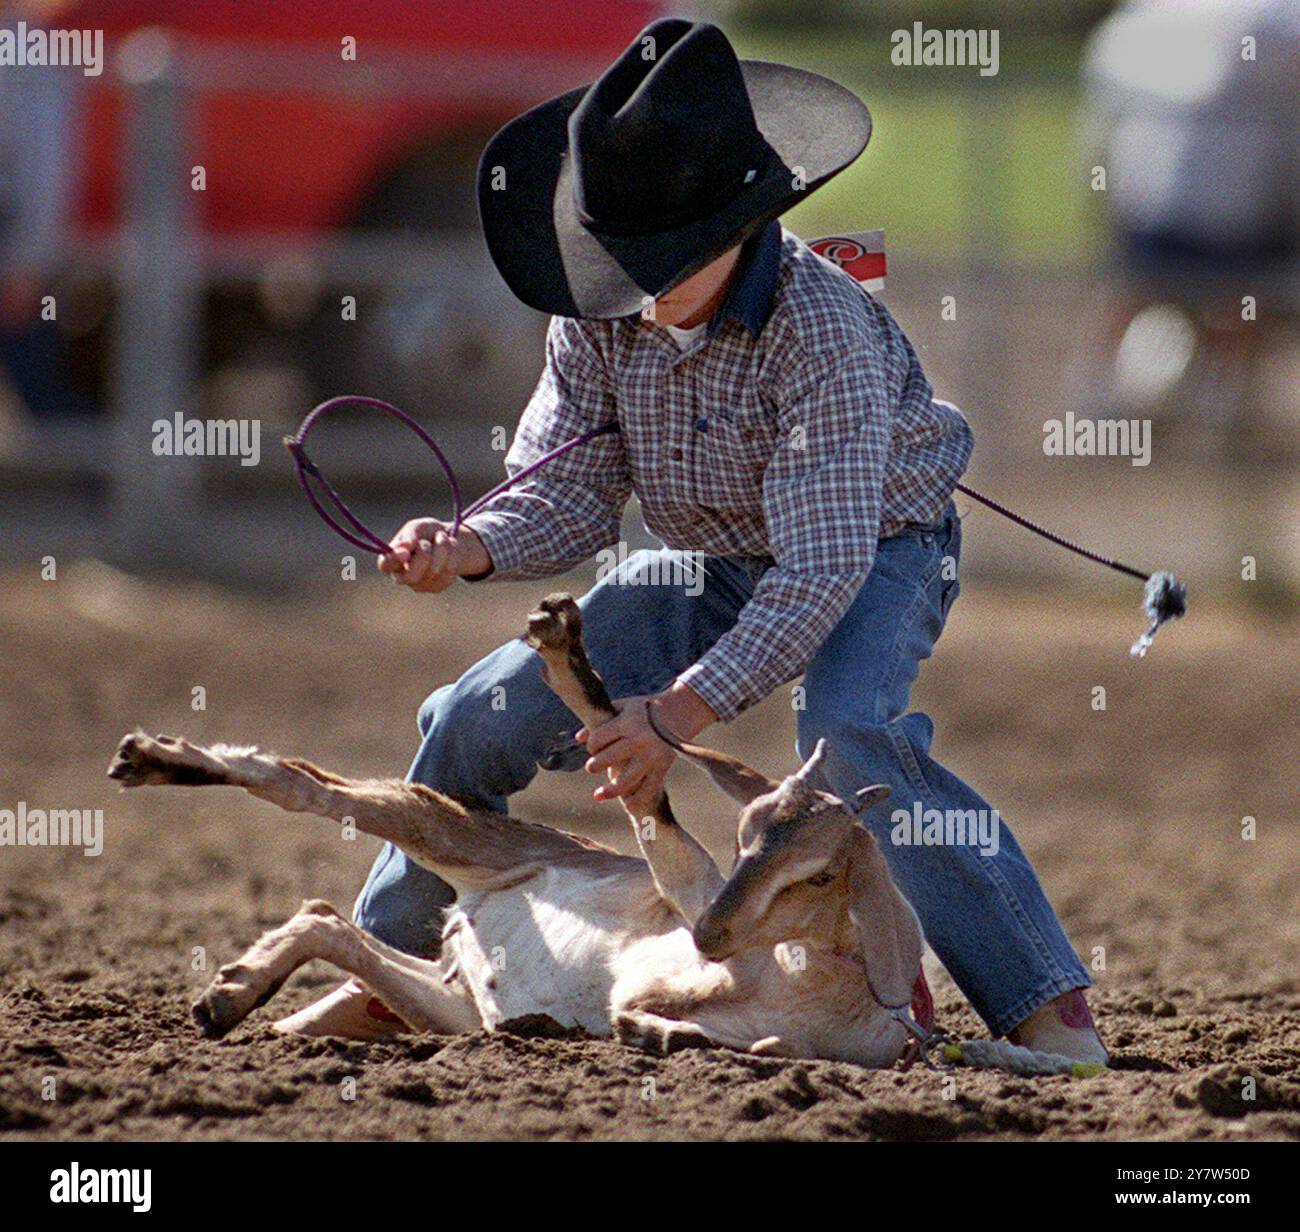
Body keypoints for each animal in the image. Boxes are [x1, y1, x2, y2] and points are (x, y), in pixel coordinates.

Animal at [106, 594, 927, 1065]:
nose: (711, 935)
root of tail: (467, 916)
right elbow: (656, 821)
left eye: (821, 872)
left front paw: (652, 1032)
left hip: (449, 1000)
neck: (798, 975)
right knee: (299, 784)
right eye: (743, 836)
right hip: (451, 830)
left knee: (325, 918)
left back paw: (229, 997)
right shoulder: (688, 884)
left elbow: (764, 1044)